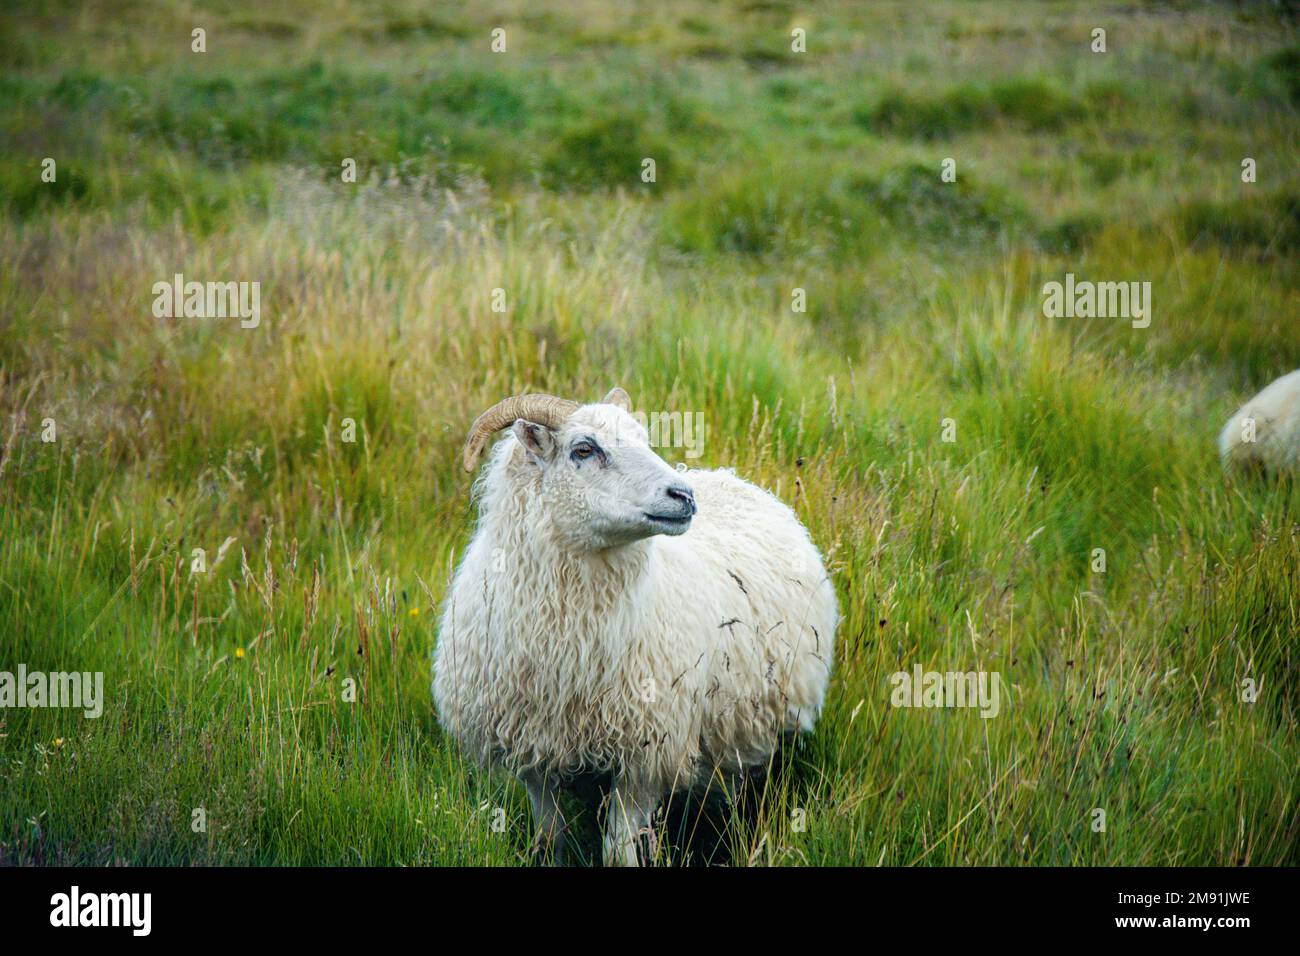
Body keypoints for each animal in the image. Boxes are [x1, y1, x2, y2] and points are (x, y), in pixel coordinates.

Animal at [433, 388, 837, 865]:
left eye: (644, 440)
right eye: (583, 449)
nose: (683, 495)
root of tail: (735, 480)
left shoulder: (646, 757)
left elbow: (618, 851)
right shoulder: (534, 751)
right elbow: (550, 839)